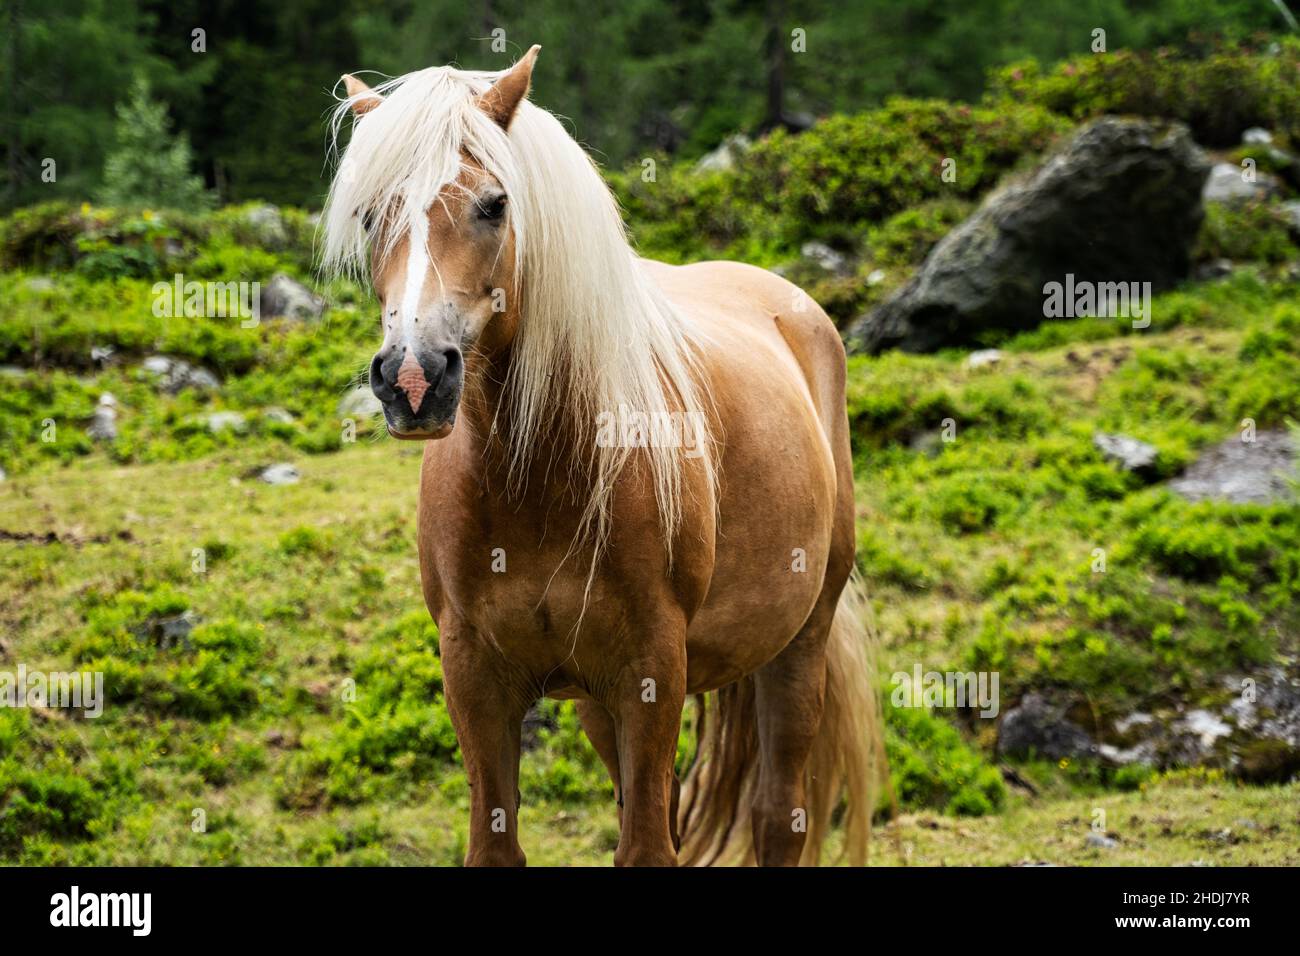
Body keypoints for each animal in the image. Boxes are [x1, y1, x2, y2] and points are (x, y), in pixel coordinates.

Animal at [322, 45, 886, 866]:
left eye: (494, 204)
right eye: (370, 215)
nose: (414, 379)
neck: (538, 480)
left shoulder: (650, 671)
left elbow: (647, 846)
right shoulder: (476, 676)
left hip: (798, 647)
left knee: (778, 817)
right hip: (596, 701)